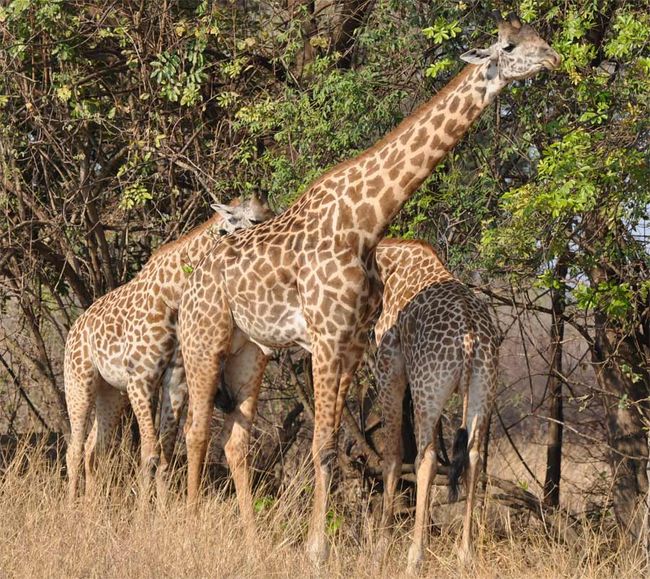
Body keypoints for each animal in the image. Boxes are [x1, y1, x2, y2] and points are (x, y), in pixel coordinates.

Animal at [64, 195, 274, 502]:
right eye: (254, 220)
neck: (171, 296)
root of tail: (73, 331)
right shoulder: (141, 379)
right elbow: (149, 453)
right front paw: (144, 512)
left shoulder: (175, 382)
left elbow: (165, 454)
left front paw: (160, 511)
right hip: (79, 383)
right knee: (74, 450)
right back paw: (71, 507)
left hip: (112, 393)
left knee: (94, 449)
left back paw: (90, 506)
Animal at [373, 238, 498, 569]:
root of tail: (471, 340)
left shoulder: (390, 368)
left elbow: (392, 456)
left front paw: (380, 548)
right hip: (482, 389)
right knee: (473, 457)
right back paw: (465, 555)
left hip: (427, 389)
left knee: (426, 457)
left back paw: (415, 556)